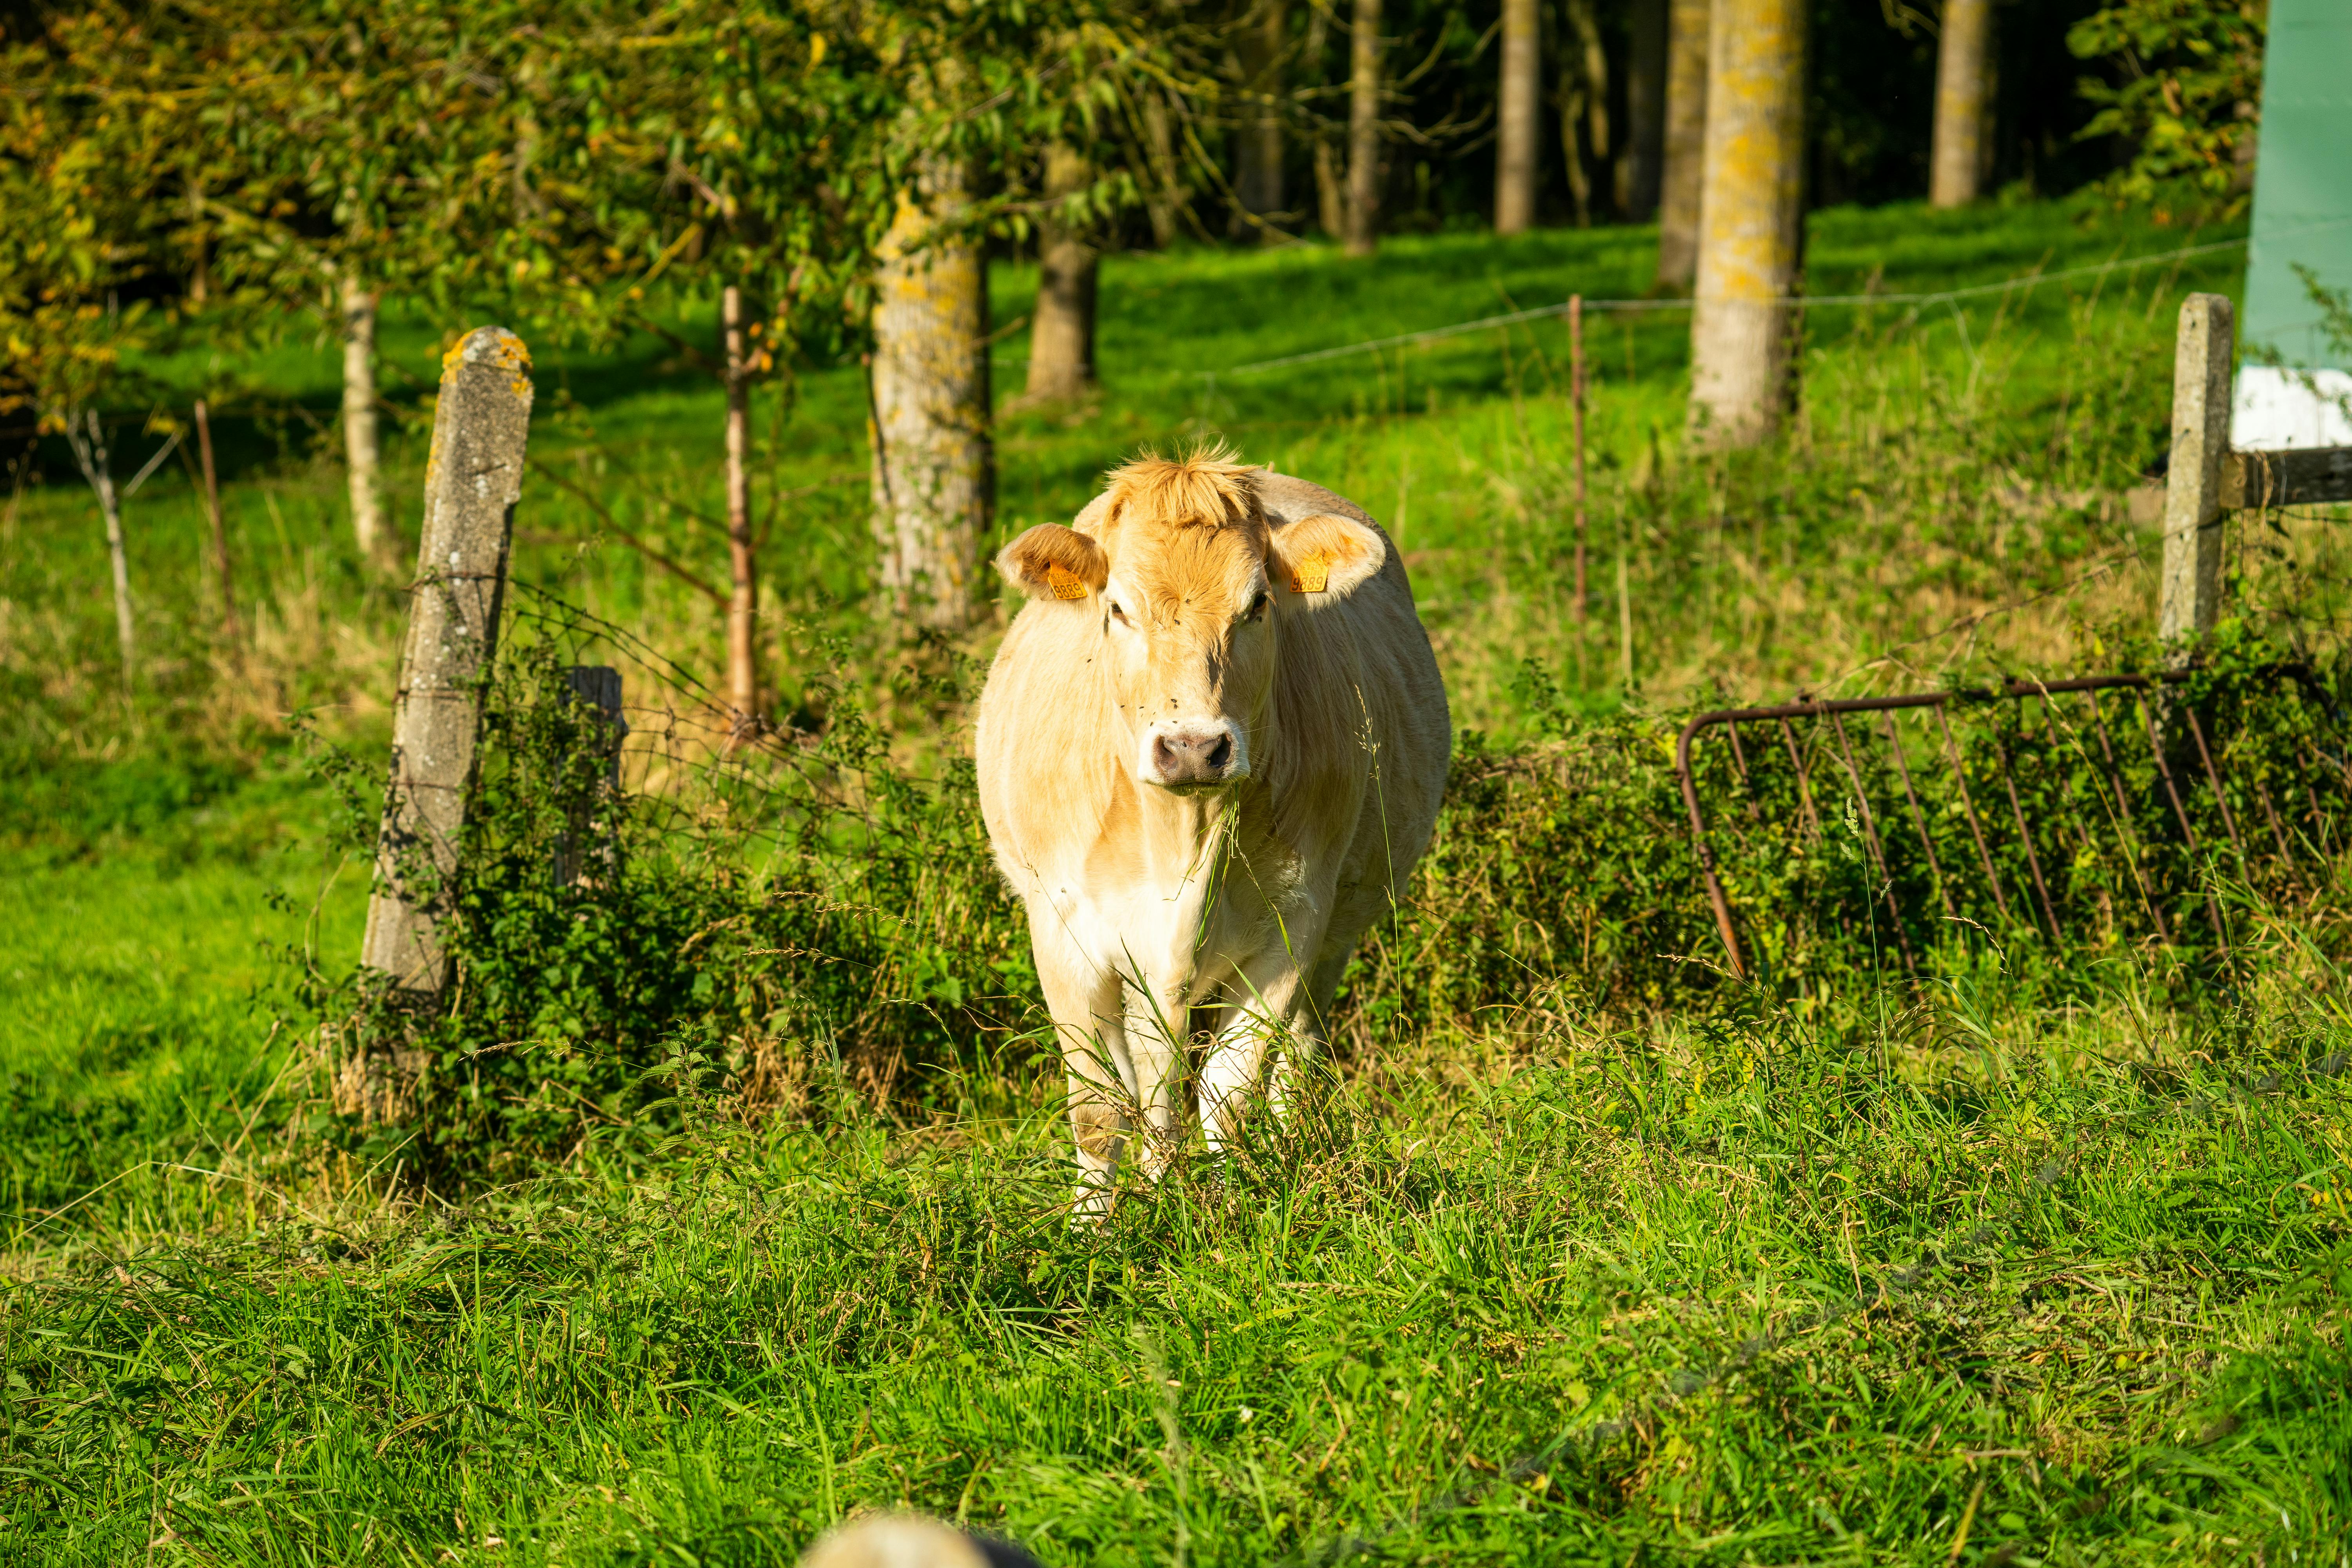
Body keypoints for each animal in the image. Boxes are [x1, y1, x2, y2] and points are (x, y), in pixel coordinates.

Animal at [973, 448, 1450, 1212]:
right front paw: (1093, 1228)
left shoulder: (1293, 931)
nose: (1194, 747)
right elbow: (1101, 1110)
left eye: (1257, 605)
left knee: (1296, 1058)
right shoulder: (1062, 931)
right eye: (1117, 609)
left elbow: (1230, 1099)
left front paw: (1227, 1212)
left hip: (1337, 932)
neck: (1182, 839)